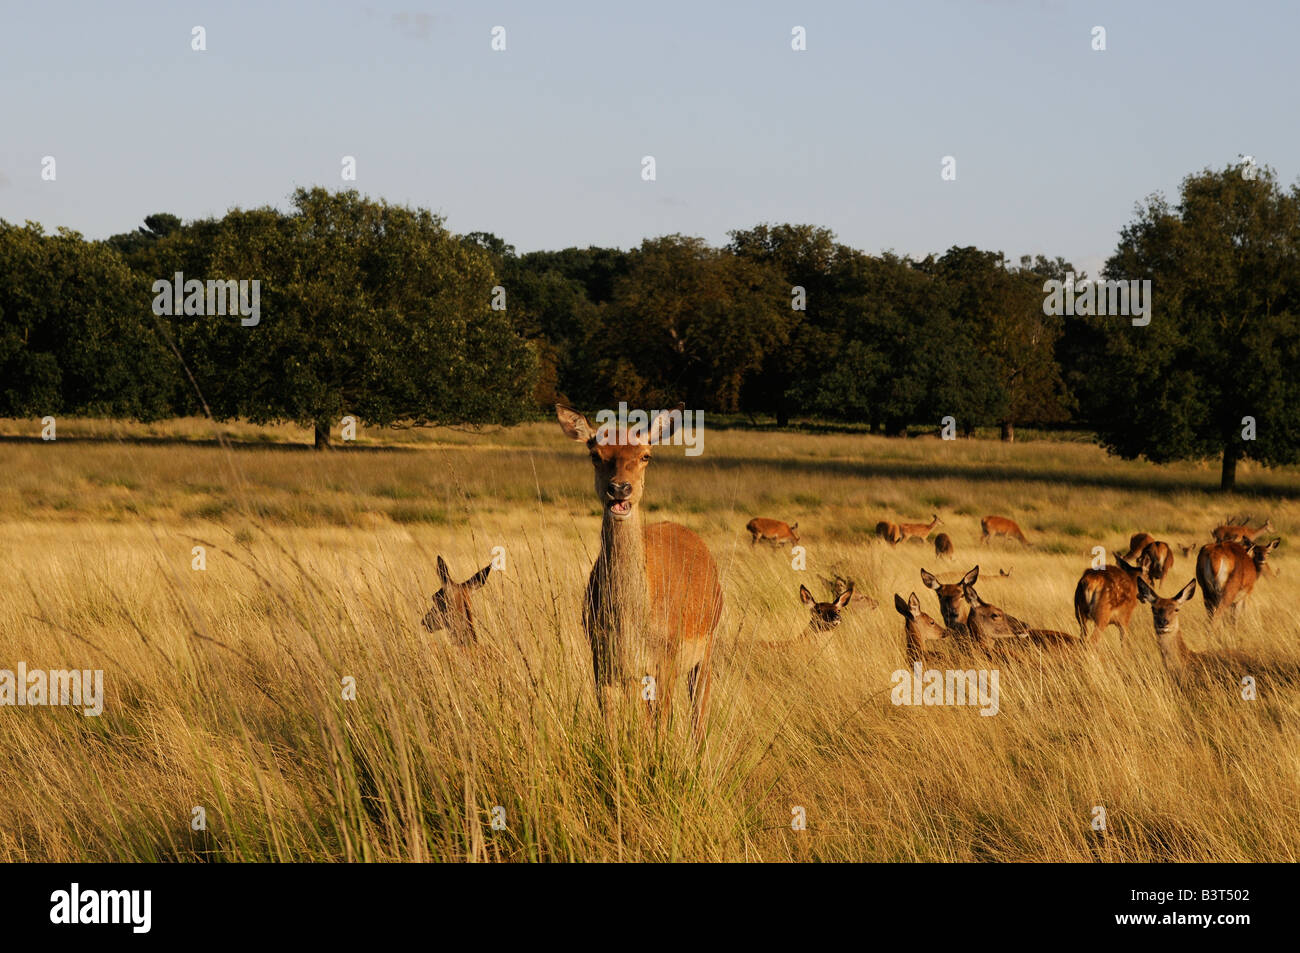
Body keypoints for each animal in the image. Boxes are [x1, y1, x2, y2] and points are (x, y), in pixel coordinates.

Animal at [556, 404, 724, 734]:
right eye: (595, 454)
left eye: (646, 455)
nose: (620, 488)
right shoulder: (601, 657)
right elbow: (611, 725)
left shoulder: (666, 659)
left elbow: (660, 725)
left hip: (708, 644)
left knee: (699, 711)